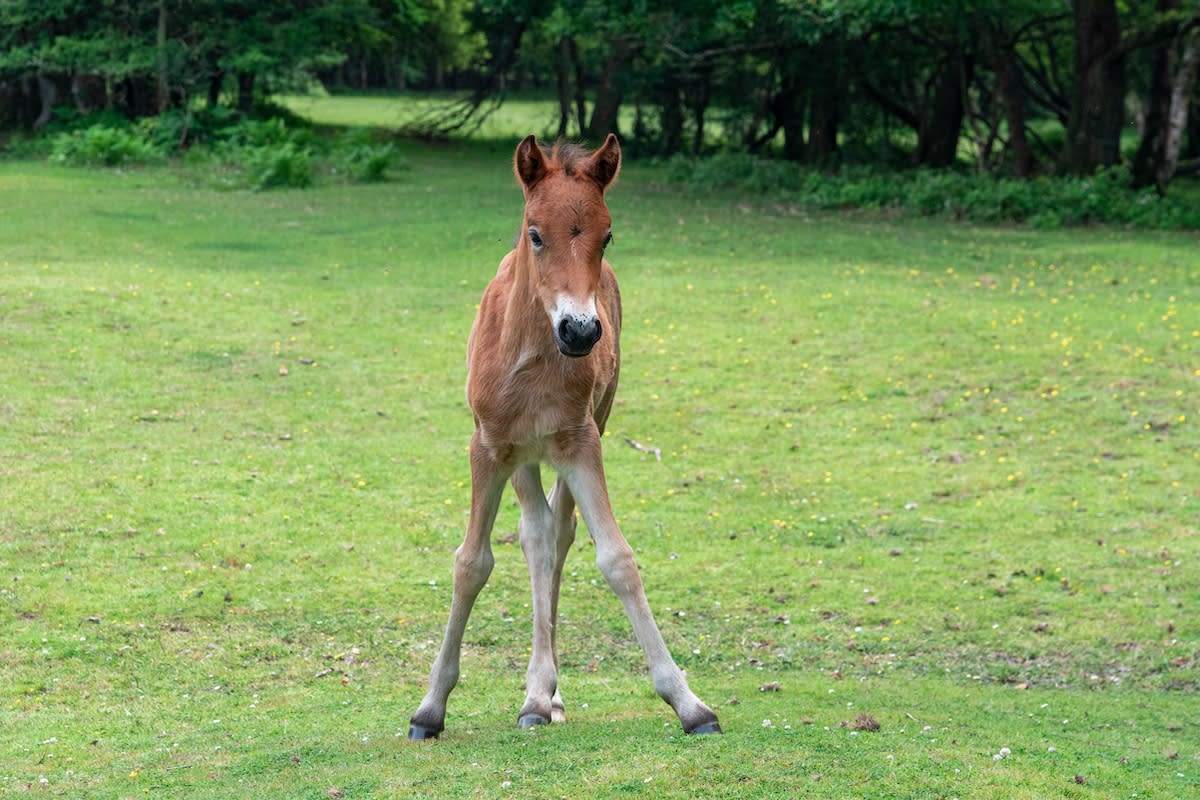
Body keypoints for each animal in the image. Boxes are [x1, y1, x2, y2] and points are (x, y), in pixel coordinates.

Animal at [407, 134, 721, 739]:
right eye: (535, 233)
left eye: (607, 234)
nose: (579, 331)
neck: (532, 360)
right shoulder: (487, 448)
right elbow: (470, 563)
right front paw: (430, 708)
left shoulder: (581, 443)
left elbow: (617, 560)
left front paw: (689, 703)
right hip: (522, 456)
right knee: (537, 534)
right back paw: (537, 693)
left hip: (587, 423)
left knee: (557, 535)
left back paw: (542, 695)